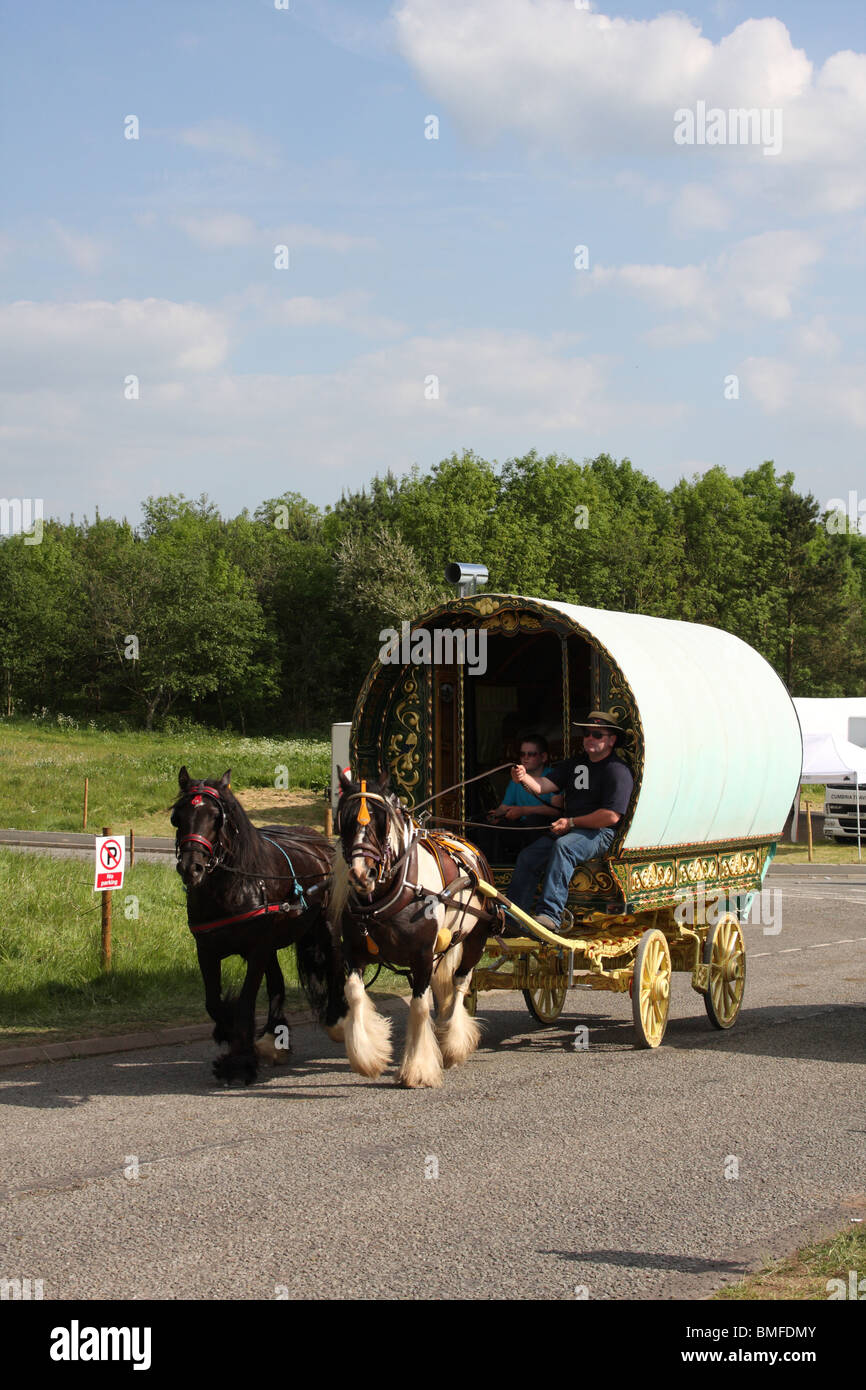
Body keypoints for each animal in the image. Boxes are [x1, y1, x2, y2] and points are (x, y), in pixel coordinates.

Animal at [171, 767, 347, 1084]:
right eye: (177, 816)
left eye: (217, 817)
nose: (191, 867)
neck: (233, 884)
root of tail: (320, 841)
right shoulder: (207, 950)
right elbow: (214, 1003)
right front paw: (230, 1033)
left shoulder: (256, 950)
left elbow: (245, 1003)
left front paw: (238, 1063)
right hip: (273, 943)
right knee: (277, 983)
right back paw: (273, 1038)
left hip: (325, 925)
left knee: (336, 965)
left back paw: (336, 1019)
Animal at [328, 770, 502, 1089]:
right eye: (343, 819)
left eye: (382, 820)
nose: (361, 874)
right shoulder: (354, 953)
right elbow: (355, 994)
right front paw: (367, 1057)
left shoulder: (422, 955)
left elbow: (419, 1007)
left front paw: (418, 1069)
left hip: (476, 939)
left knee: (460, 983)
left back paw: (453, 1043)